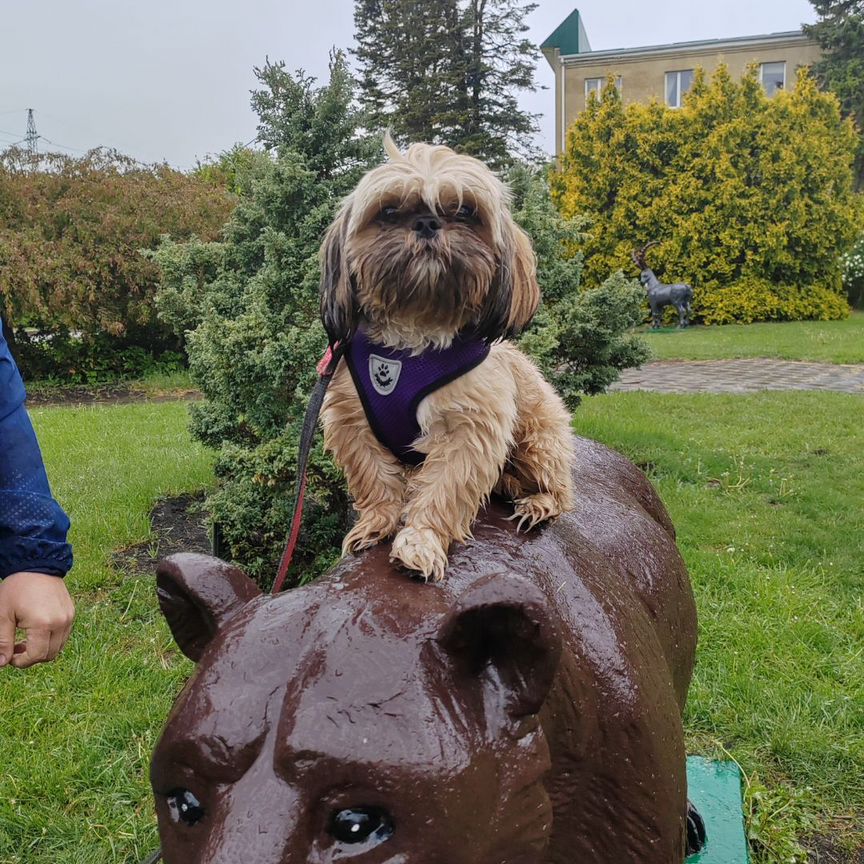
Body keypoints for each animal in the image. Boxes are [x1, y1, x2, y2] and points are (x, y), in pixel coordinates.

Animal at [319, 137, 574, 581]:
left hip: (539, 440)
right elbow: (375, 478)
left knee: (559, 488)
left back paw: (538, 505)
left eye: (465, 211)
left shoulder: (468, 429)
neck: (412, 339)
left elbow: (444, 488)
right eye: (389, 211)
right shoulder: (351, 420)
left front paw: (421, 540)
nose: (426, 223)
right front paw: (377, 523)